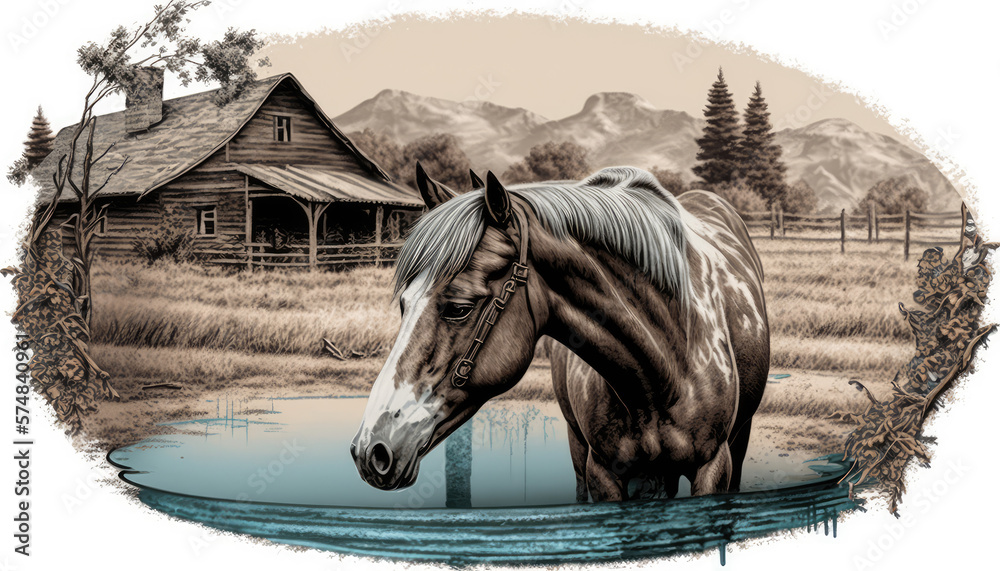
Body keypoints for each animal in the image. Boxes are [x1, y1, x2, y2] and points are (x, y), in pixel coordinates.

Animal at [351, 164, 769, 500]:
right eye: (404, 303)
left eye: (459, 308)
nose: (372, 449)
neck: (665, 371)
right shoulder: (602, 473)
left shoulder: (714, 466)